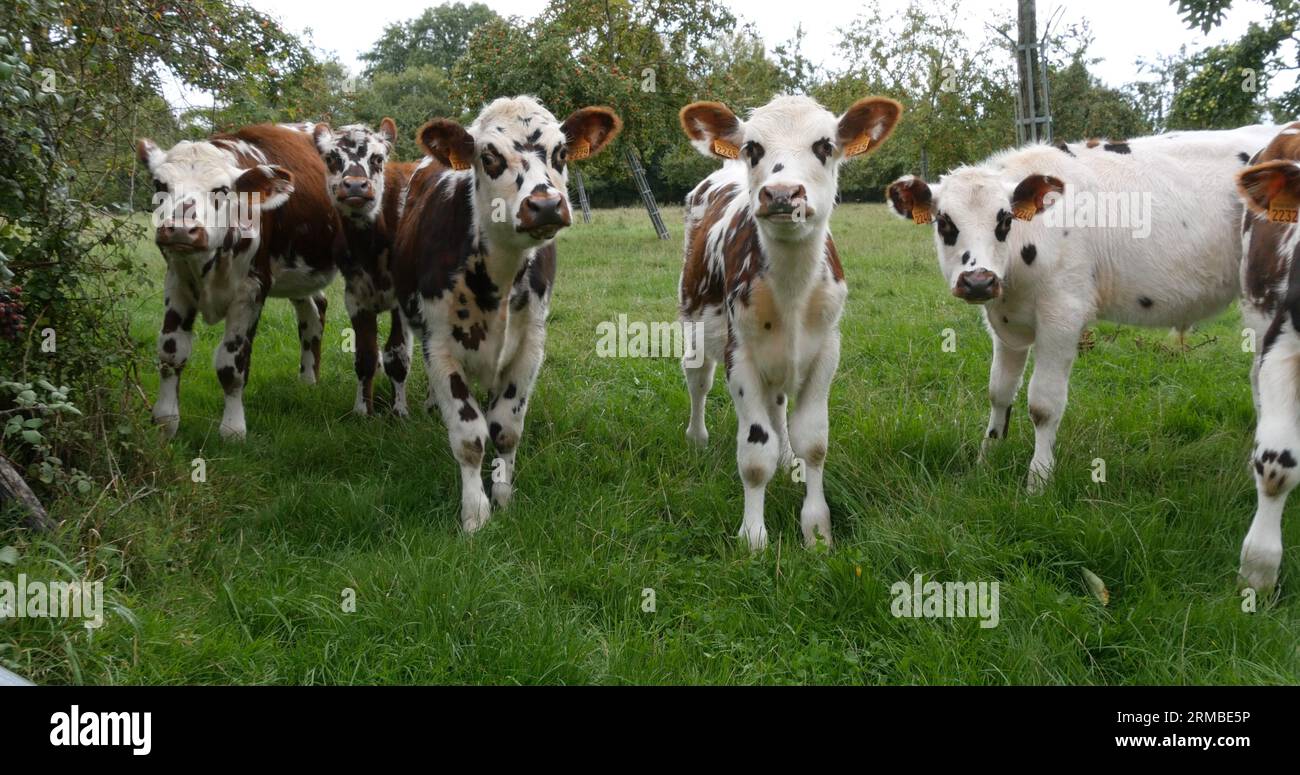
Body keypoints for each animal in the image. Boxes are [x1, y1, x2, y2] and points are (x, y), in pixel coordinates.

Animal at [136, 125, 341, 440]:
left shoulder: (251, 290)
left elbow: (232, 365)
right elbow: (171, 352)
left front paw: (233, 429)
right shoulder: (176, 281)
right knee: (313, 309)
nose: (181, 229)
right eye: (160, 184)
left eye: (221, 190)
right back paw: (308, 379)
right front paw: (166, 422)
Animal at [311, 118, 420, 416]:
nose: (356, 186)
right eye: (331, 158)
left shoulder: (401, 301)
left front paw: (400, 411)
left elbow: (397, 355)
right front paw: (362, 411)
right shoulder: (355, 297)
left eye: (377, 158)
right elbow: (365, 356)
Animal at [393, 96, 621, 532]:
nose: (545, 205)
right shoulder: (439, 344)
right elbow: (469, 436)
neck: (497, 276)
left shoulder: (530, 344)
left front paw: (502, 495)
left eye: (561, 152)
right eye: (489, 156)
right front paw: (475, 512)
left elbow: (505, 428)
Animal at [677, 94, 903, 551]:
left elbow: (813, 443)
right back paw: (697, 438)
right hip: (692, 322)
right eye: (752, 148)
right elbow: (753, 454)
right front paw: (753, 536)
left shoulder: (826, 351)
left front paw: (816, 529)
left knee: (778, 404)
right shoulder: (740, 355)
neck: (791, 290)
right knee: (698, 382)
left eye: (825, 145)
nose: (781, 193)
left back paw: (786, 457)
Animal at [887, 125, 1279, 493]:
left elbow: (1043, 405)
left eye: (1005, 220)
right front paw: (987, 458)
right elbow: (999, 391)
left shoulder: (1062, 314)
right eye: (944, 223)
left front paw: (1038, 480)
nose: (979, 281)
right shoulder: (1005, 324)